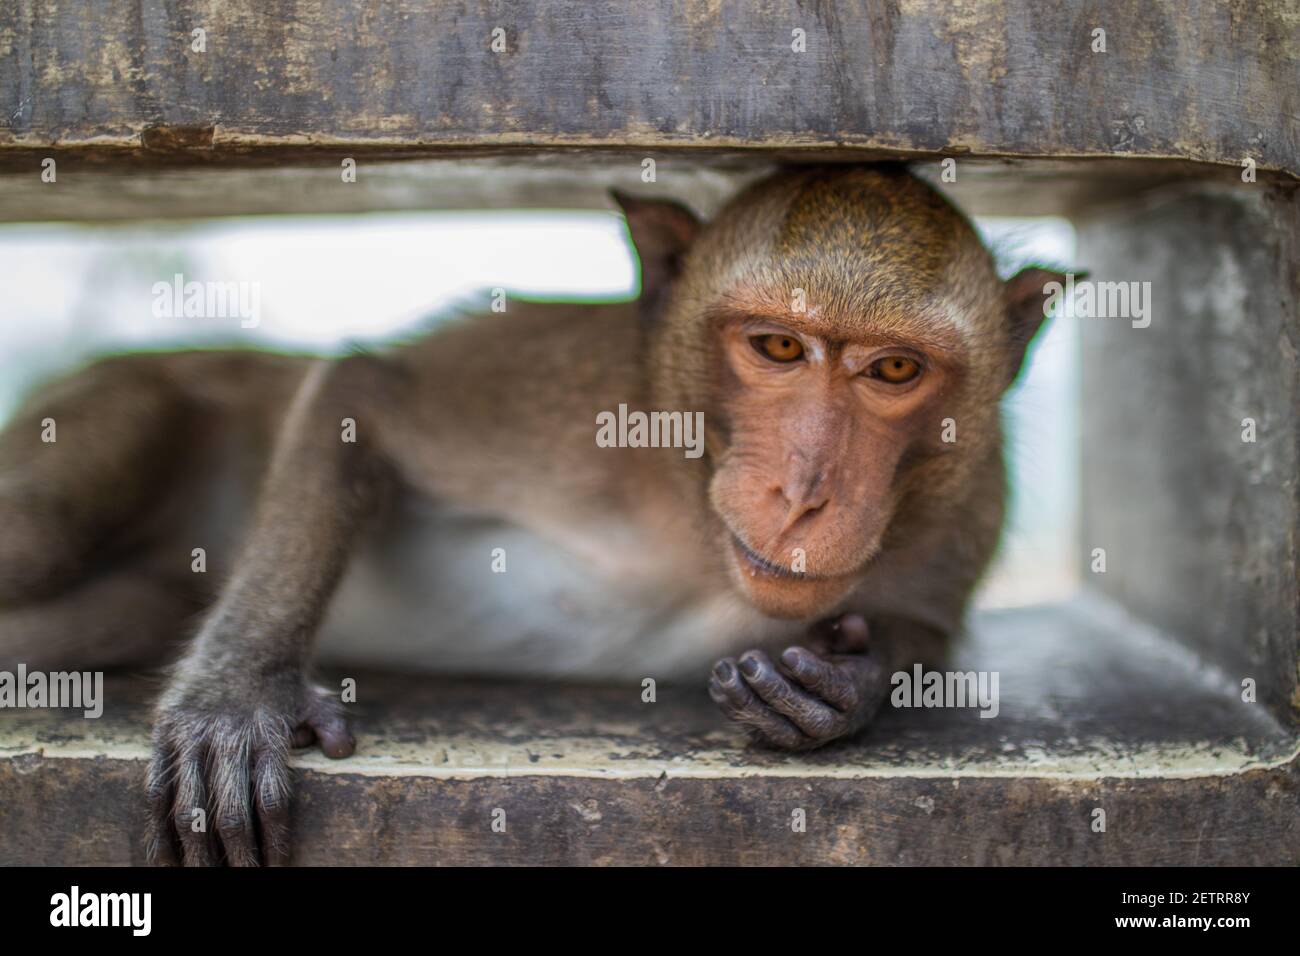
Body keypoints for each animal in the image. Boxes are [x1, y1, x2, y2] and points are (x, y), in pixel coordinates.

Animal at [0, 164, 1063, 866]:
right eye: (776, 347)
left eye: (894, 369)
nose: (805, 492)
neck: (693, 518)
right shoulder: (578, 390)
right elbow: (362, 393)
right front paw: (237, 701)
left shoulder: (973, 501)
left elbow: (918, 634)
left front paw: (838, 689)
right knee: (40, 536)